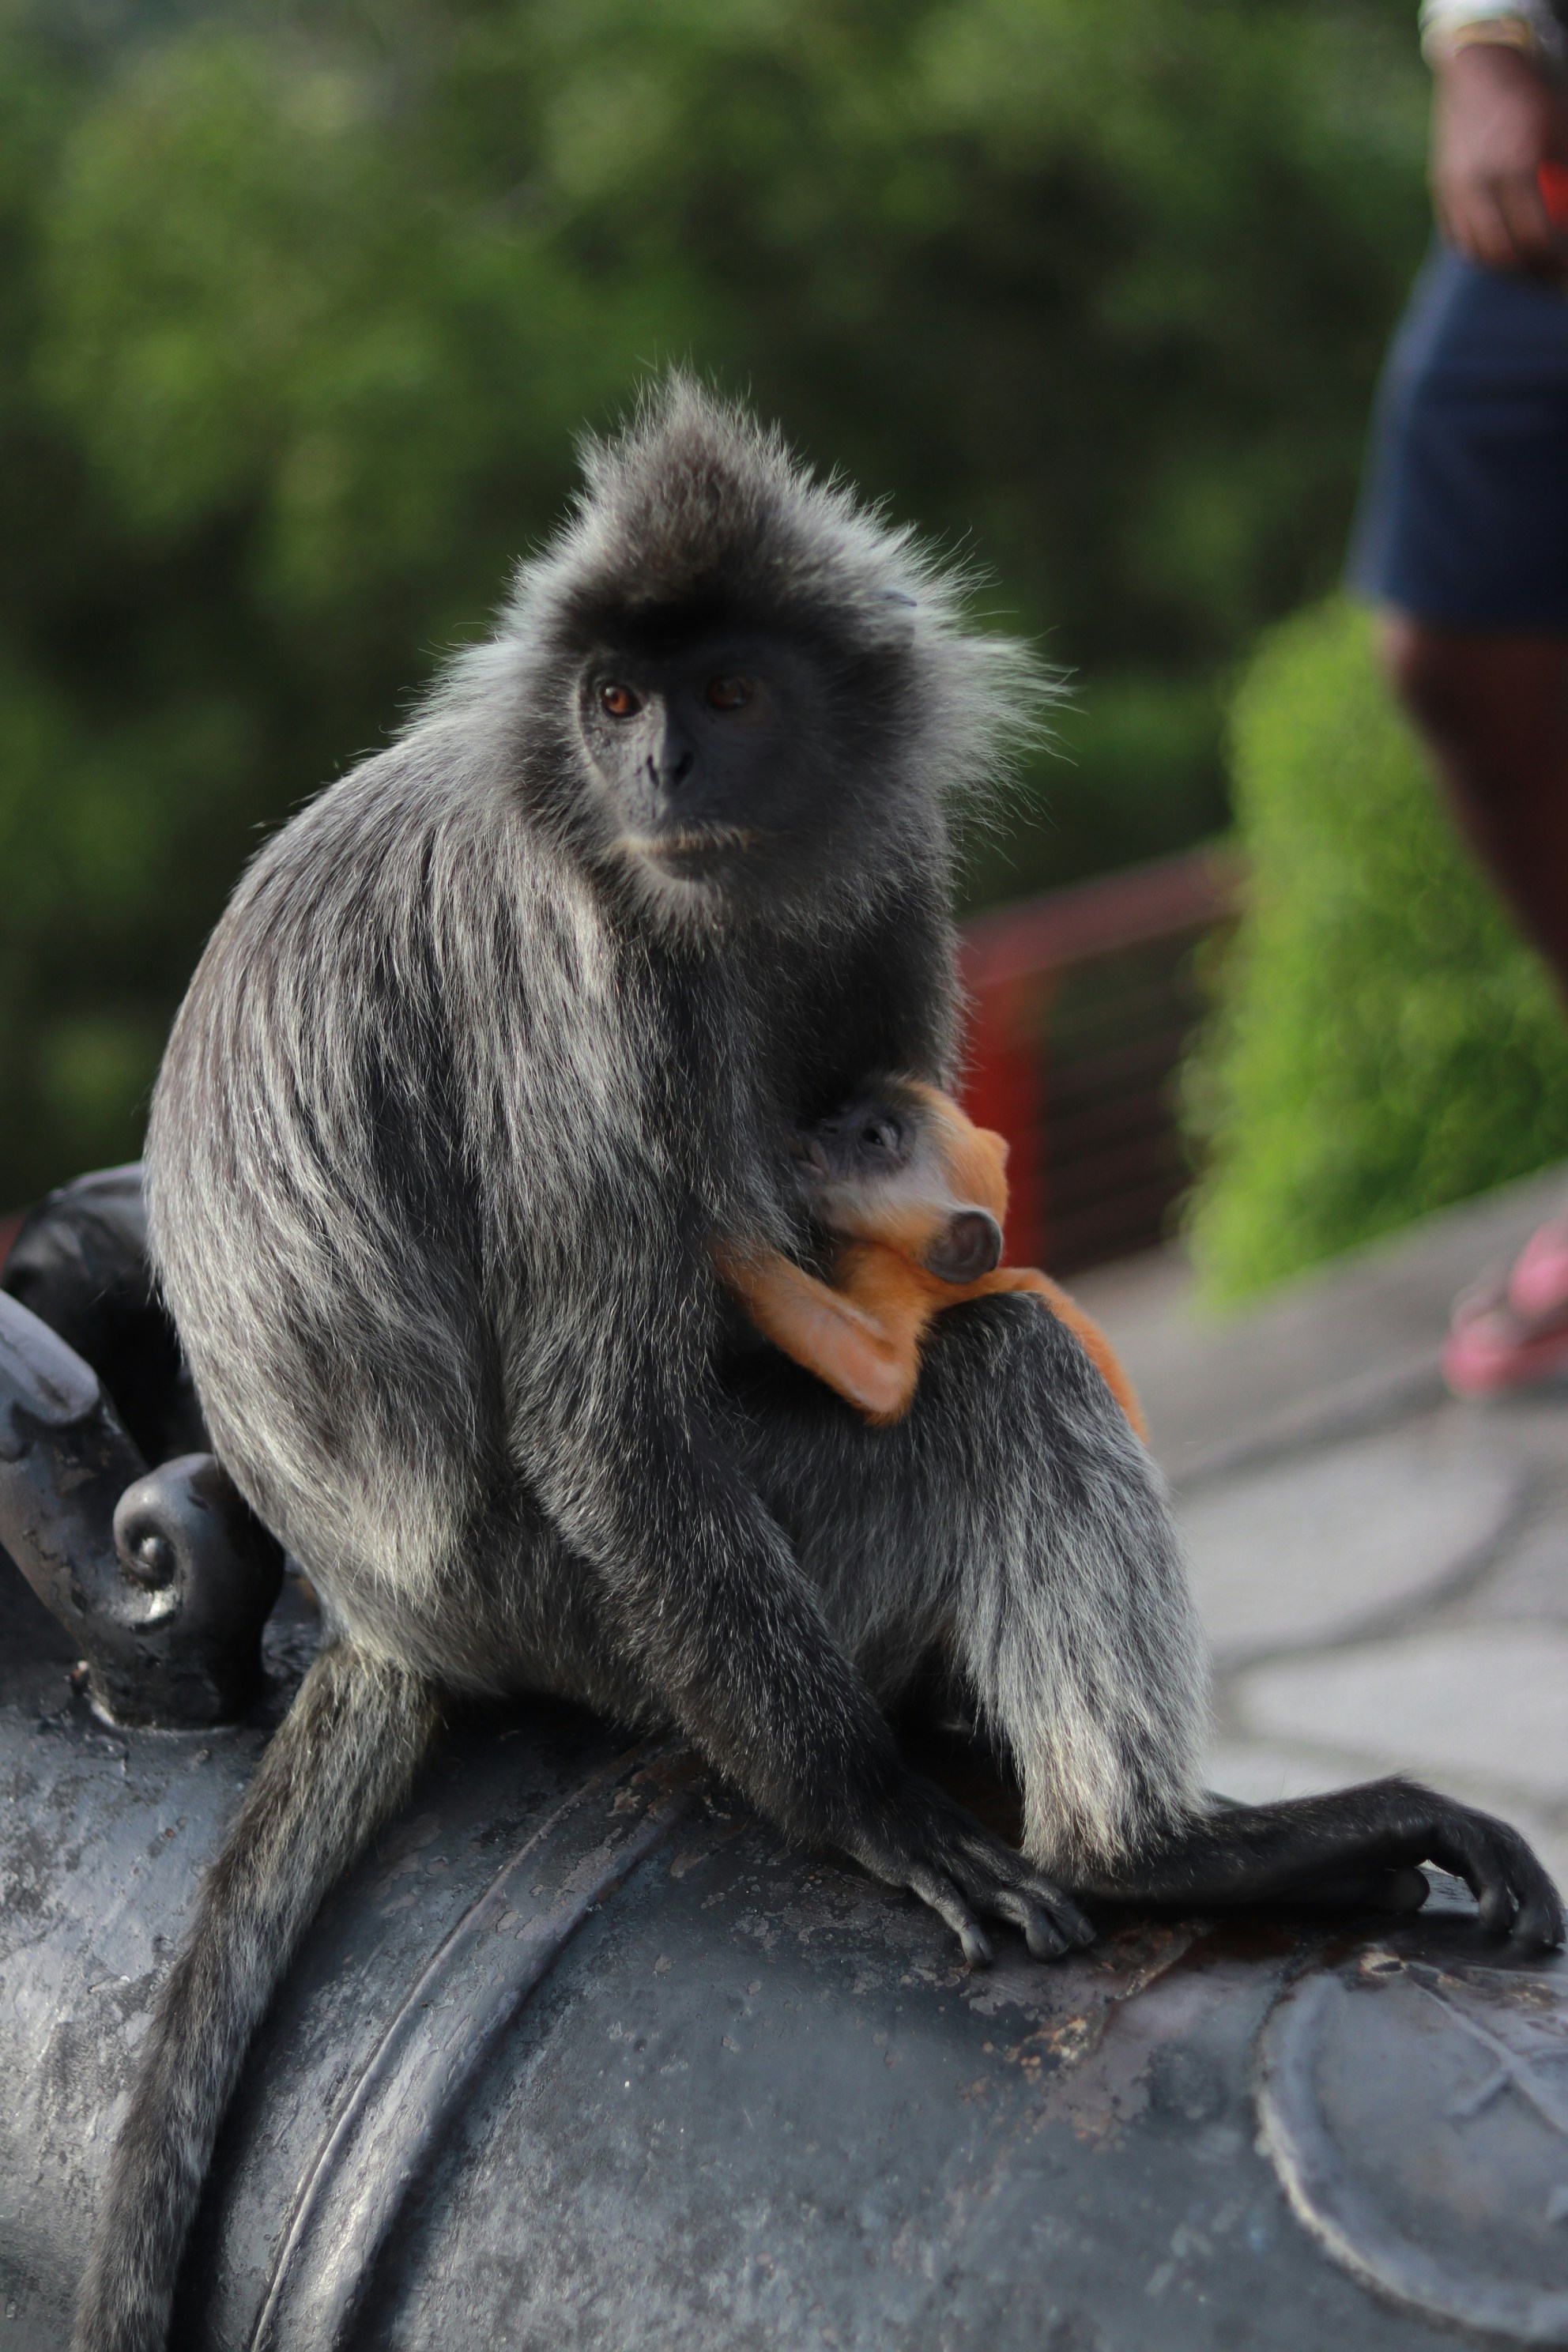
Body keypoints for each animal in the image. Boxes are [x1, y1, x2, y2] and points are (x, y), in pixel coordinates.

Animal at [718, 1076, 1148, 1435]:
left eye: (873, 1138)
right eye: (840, 1113)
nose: (824, 1127)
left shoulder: (879, 1262)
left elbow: (882, 1374)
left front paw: (718, 1235)